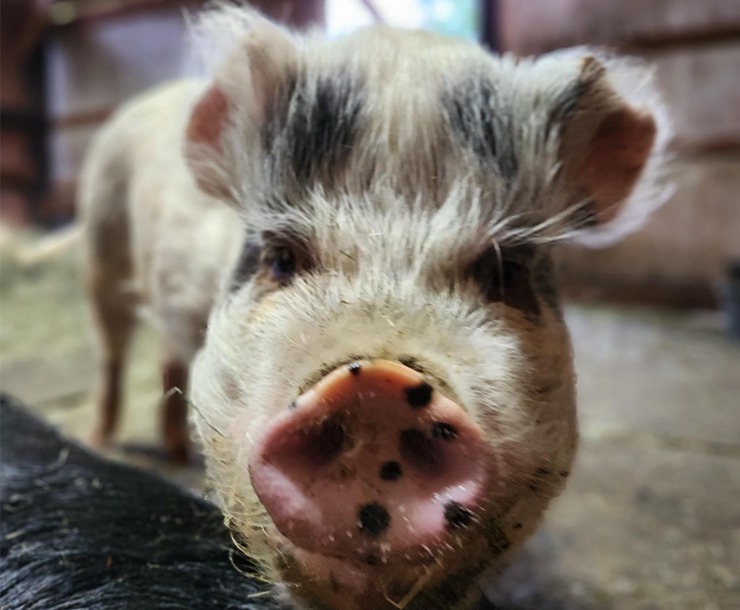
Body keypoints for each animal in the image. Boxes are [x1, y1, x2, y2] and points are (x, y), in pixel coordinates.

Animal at [81, 5, 668, 610]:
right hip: (101, 235)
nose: (379, 385)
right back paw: (100, 442)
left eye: (504, 271)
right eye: (281, 258)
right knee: (112, 348)